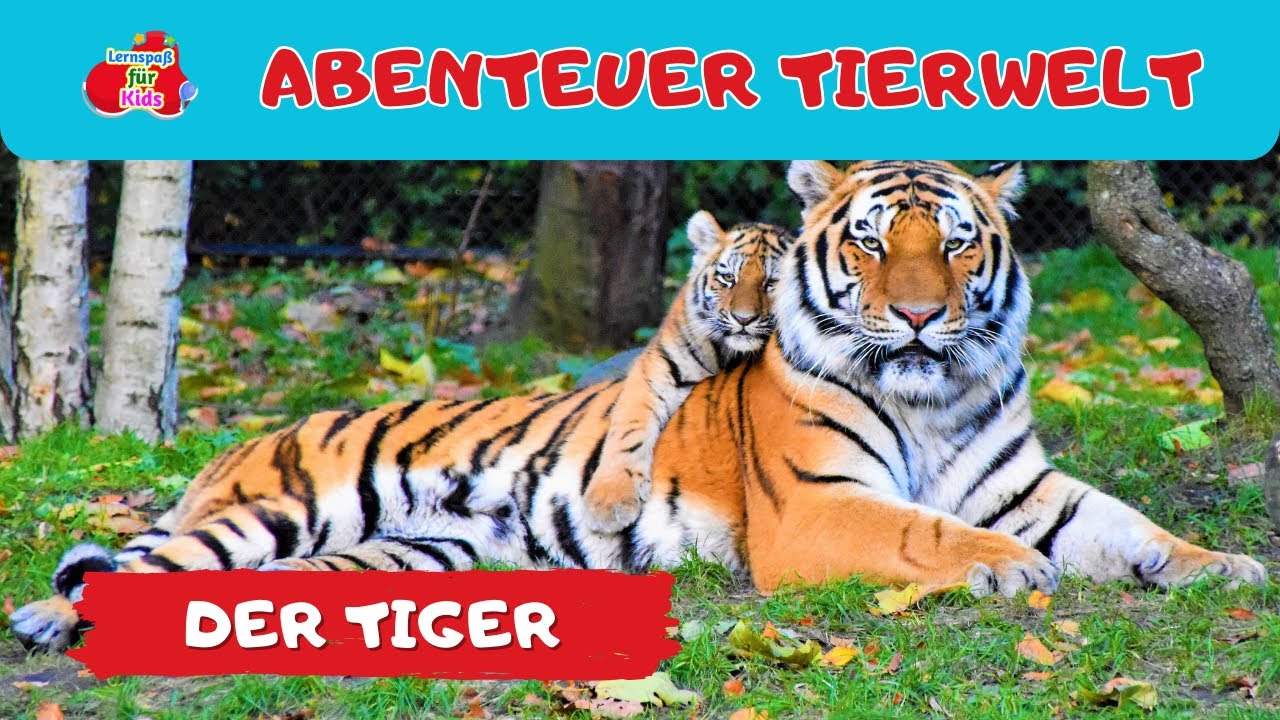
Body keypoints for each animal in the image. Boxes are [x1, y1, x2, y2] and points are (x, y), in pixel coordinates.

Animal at [582, 211, 793, 531]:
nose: (743, 319)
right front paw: (609, 503)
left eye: (772, 282)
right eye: (728, 278)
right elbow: (629, 426)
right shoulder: (657, 367)